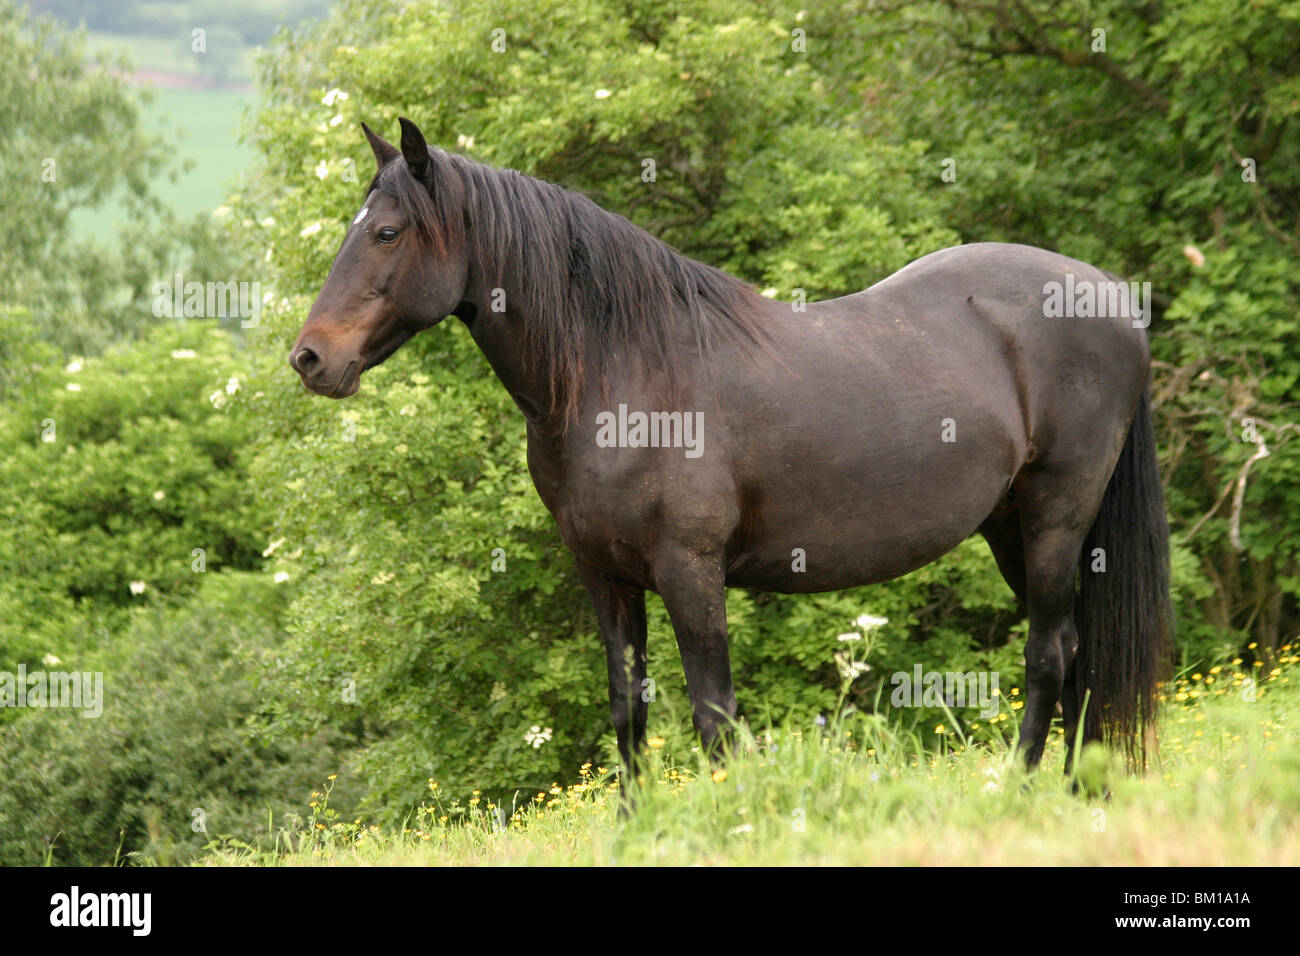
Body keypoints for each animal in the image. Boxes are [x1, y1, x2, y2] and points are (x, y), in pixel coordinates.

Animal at [290, 117, 1172, 780]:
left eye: (388, 232)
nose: (309, 358)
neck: (624, 370)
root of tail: (1109, 296)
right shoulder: (605, 577)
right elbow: (628, 708)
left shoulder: (691, 571)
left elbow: (713, 713)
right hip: (1010, 527)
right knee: (1077, 652)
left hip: (1057, 517)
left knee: (1050, 653)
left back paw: (1025, 788)